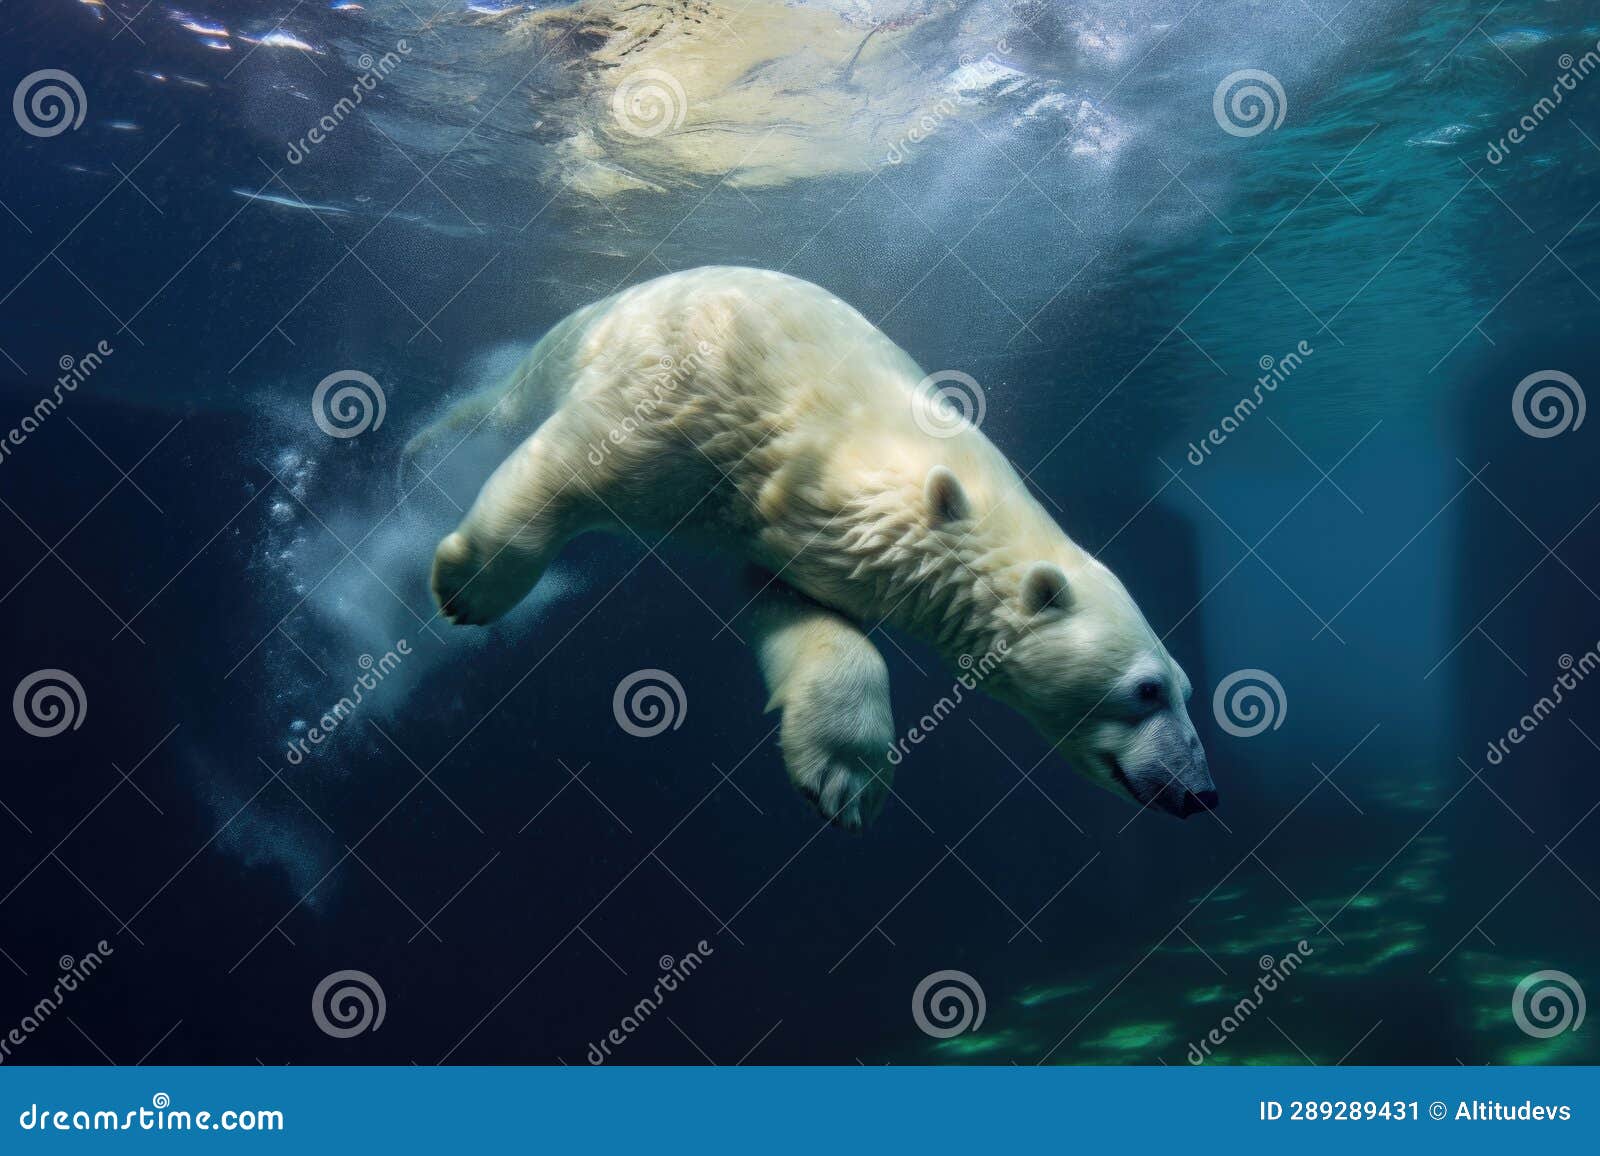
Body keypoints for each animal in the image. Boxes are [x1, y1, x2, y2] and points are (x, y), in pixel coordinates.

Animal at [410, 266, 1213, 830]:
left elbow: (795, 612)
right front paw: (467, 588)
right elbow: (570, 466)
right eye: (1147, 689)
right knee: (507, 403)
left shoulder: (797, 528)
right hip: (571, 343)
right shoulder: (683, 403)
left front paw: (844, 777)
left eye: (1186, 686)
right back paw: (428, 439)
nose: (1201, 792)